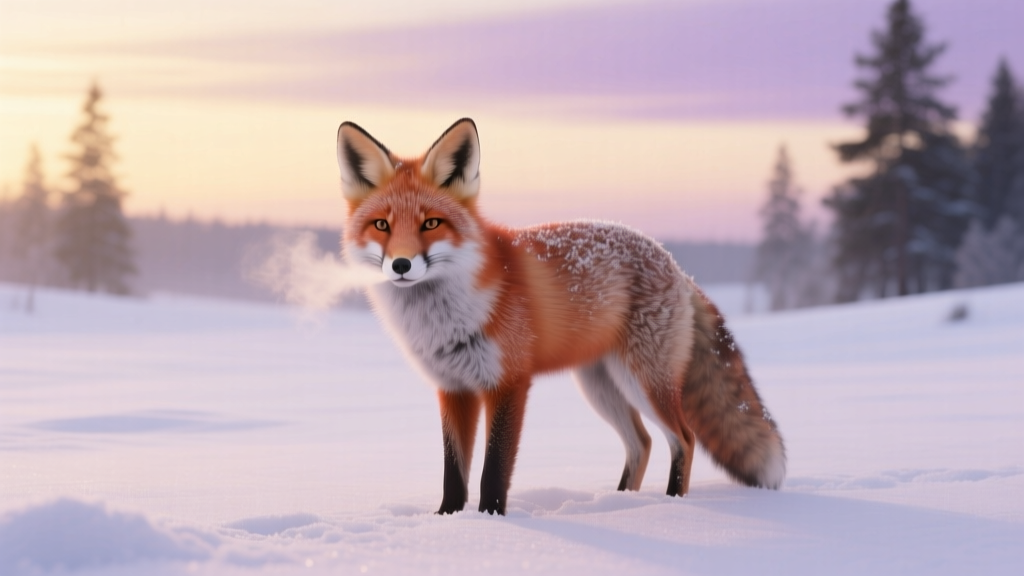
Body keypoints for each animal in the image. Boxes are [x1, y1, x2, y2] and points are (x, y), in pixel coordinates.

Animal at [337, 118, 785, 515]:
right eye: (382, 225)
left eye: (431, 223)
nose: (401, 265)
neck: (445, 318)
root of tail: (672, 262)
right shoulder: (453, 389)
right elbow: (454, 473)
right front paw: (448, 521)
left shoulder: (508, 383)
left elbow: (492, 472)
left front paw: (490, 522)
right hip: (601, 387)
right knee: (641, 443)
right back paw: (621, 502)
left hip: (644, 381)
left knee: (684, 439)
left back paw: (671, 504)